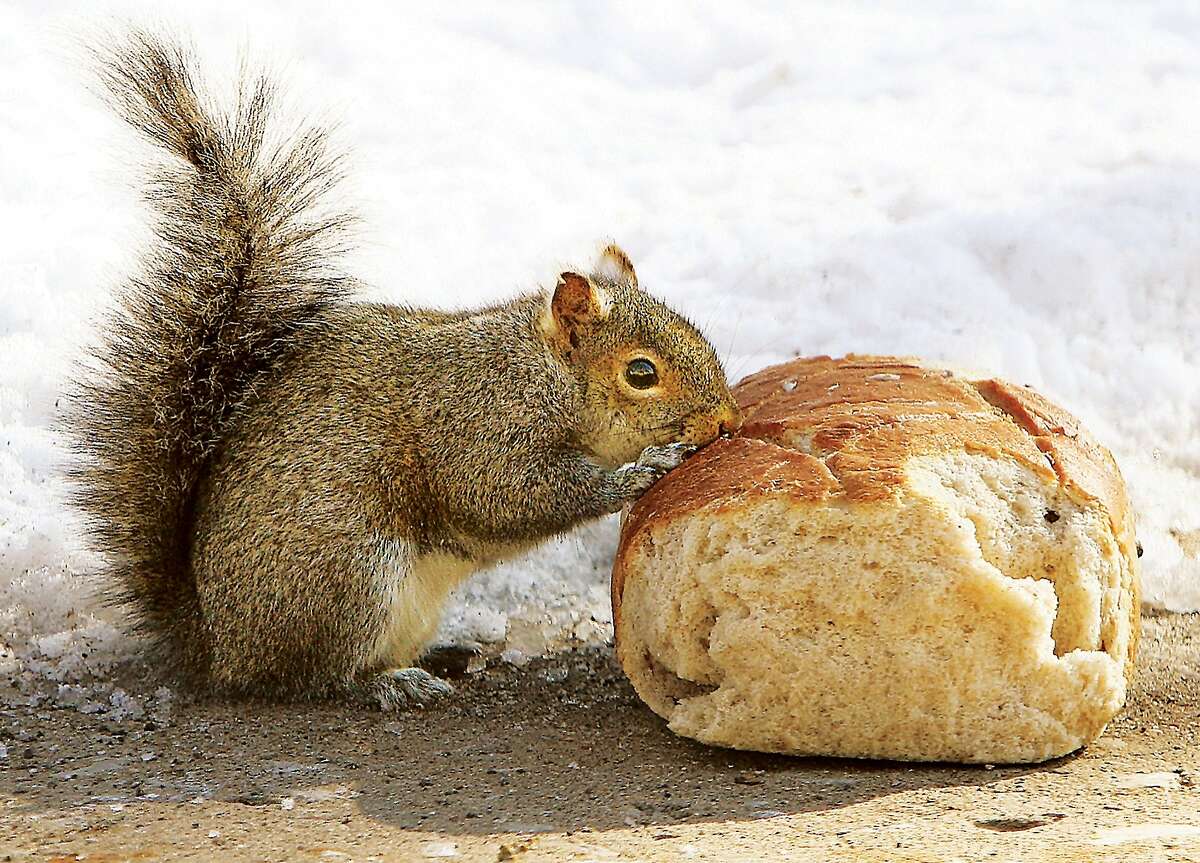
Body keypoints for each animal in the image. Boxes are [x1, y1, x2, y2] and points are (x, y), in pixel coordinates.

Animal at [67, 32, 741, 709]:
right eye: (641, 373)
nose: (726, 423)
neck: (543, 376)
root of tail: (217, 646)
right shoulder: (477, 429)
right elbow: (512, 495)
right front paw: (641, 471)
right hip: (350, 578)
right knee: (312, 677)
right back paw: (391, 683)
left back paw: (441, 655)